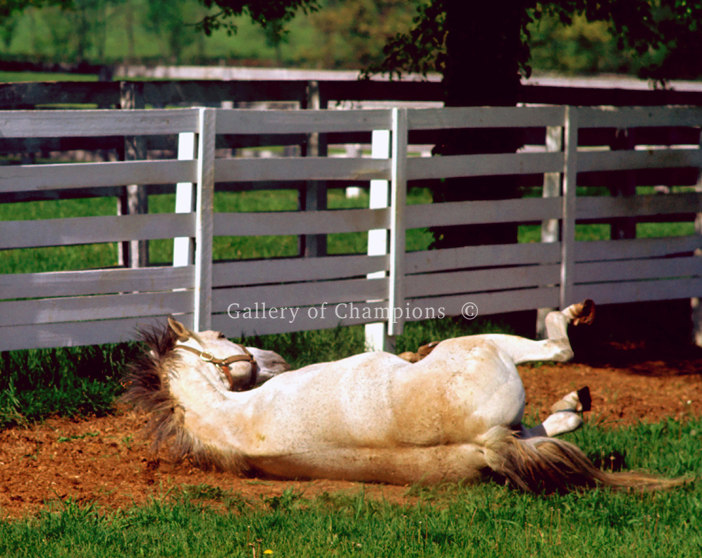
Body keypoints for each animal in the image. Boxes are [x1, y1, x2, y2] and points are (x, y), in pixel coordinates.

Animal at [123, 301, 682, 493]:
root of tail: (484, 439)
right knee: (557, 349)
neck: (230, 418)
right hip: (488, 348)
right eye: (219, 333)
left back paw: (571, 404)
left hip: (507, 427)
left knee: (549, 423)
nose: (275, 358)